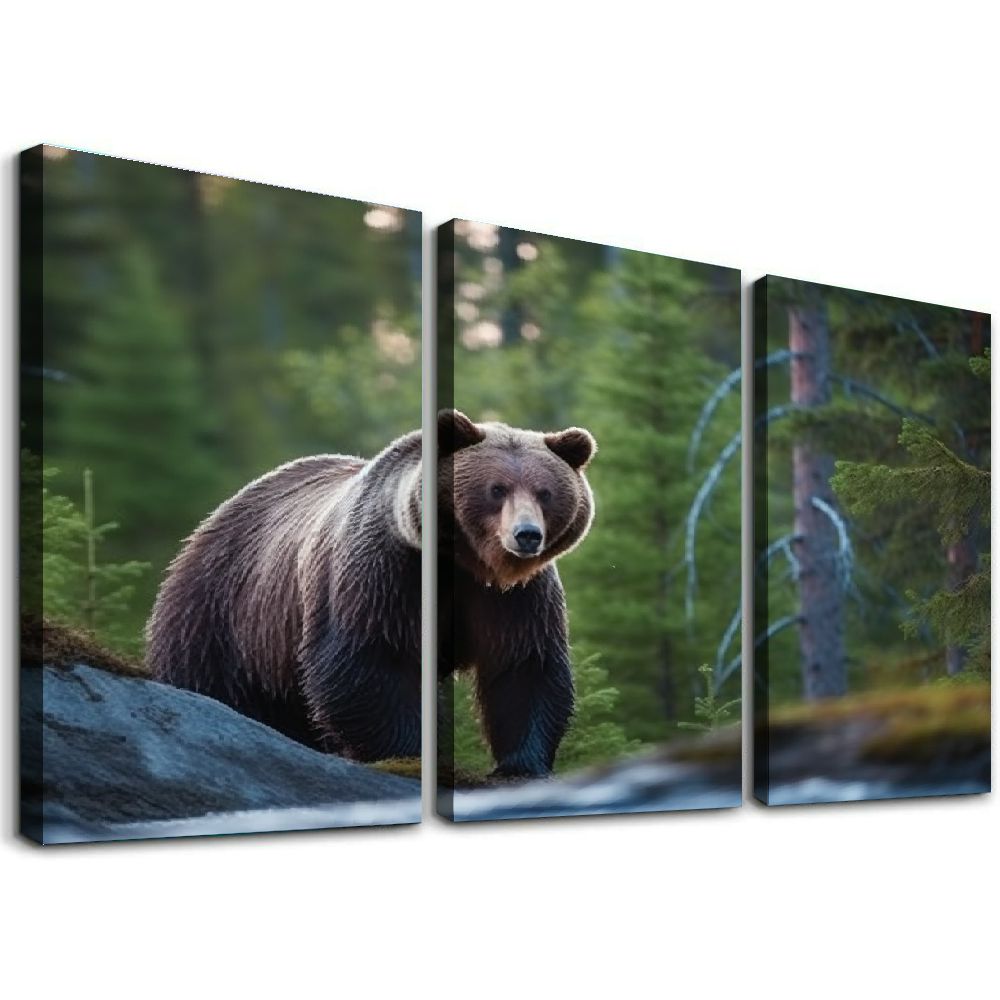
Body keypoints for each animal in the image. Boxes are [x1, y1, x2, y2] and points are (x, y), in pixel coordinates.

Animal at [438, 408, 597, 778]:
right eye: (496, 489)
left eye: (545, 493)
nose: (527, 534)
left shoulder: (521, 598)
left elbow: (525, 667)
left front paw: (521, 764)